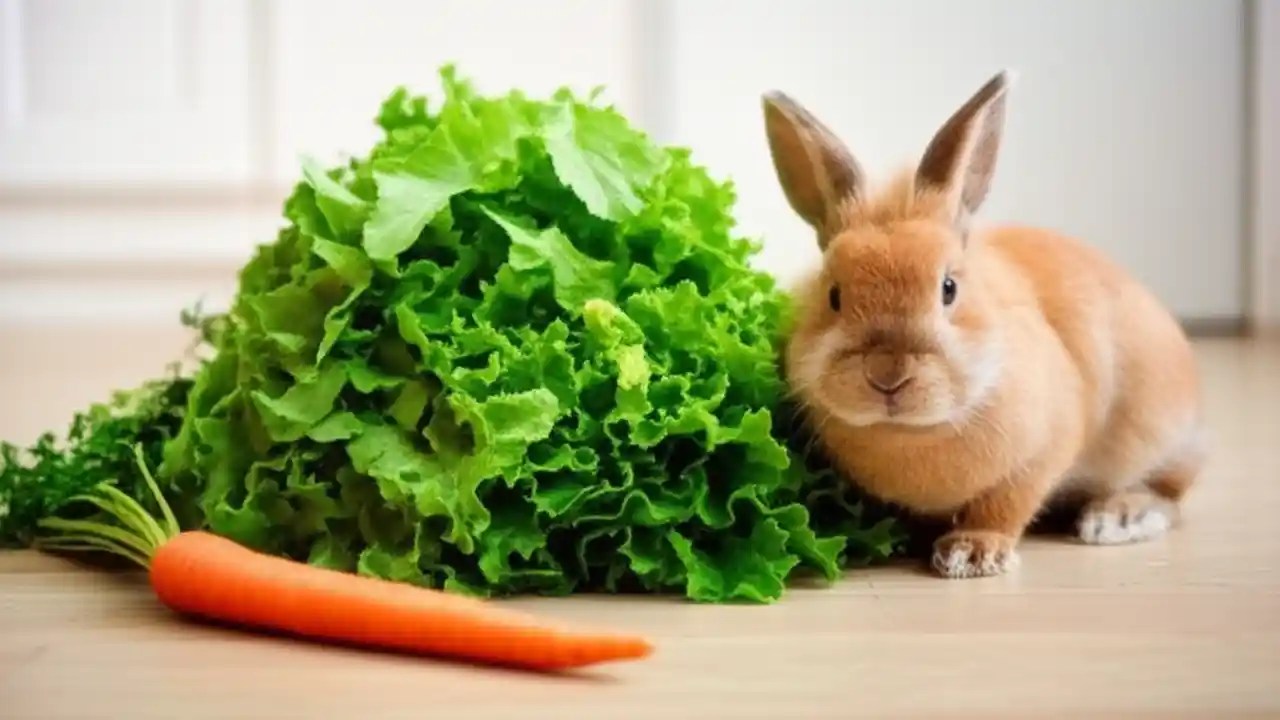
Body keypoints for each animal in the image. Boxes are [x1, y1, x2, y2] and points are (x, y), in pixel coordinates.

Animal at [763, 70, 1205, 579]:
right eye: (833, 296)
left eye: (949, 288)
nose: (887, 375)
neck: (910, 434)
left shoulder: (1044, 451)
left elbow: (1006, 505)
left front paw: (972, 554)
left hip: (1158, 433)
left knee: (1171, 491)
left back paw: (1116, 518)